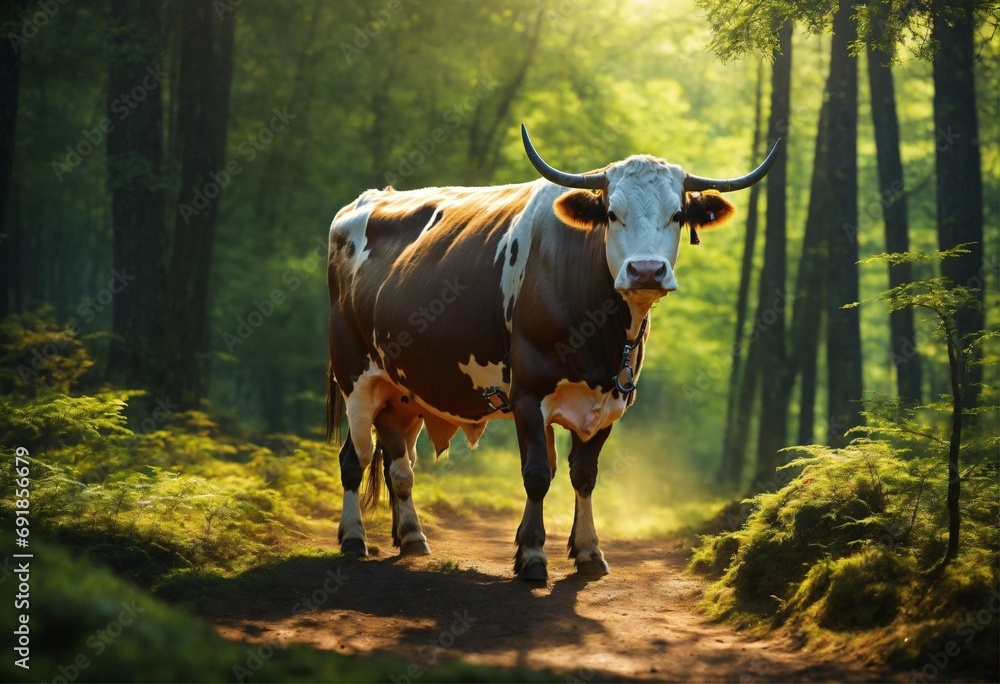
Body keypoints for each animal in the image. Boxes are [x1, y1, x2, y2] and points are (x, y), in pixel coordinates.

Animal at [327, 124, 780, 580]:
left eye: (677, 214)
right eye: (612, 213)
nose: (647, 271)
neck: (601, 337)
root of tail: (363, 201)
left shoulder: (611, 402)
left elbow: (584, 475)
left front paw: (589, 551)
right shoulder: (528, 395)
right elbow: (538, 474)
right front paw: (531, 554)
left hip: (402, 392)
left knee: (399, 466)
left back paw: (412, 537)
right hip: (354, 377)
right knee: (355, 458)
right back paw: (353, 538)